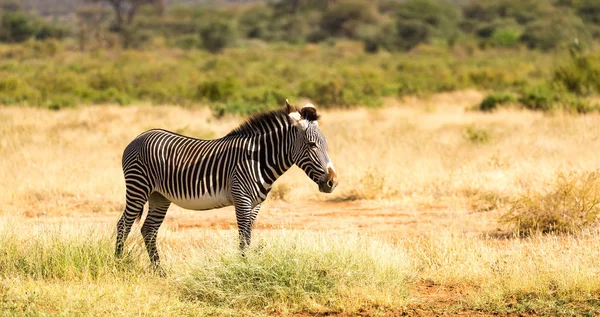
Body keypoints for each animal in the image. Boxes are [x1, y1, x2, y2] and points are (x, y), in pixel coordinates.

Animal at [113, 100, 338, 270]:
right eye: (312, 145)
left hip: (159, 196)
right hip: (138, 187)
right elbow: (244, 238)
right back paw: (118, 264)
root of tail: (140, 135)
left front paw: (247, 267)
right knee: (123, 225)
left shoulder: (256, 204)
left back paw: (160, 271)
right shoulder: (242, 199)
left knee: (149, 230)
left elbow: (248, 237)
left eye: (326, 145)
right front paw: (244, 270)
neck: (258, 159)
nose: (333, 182)